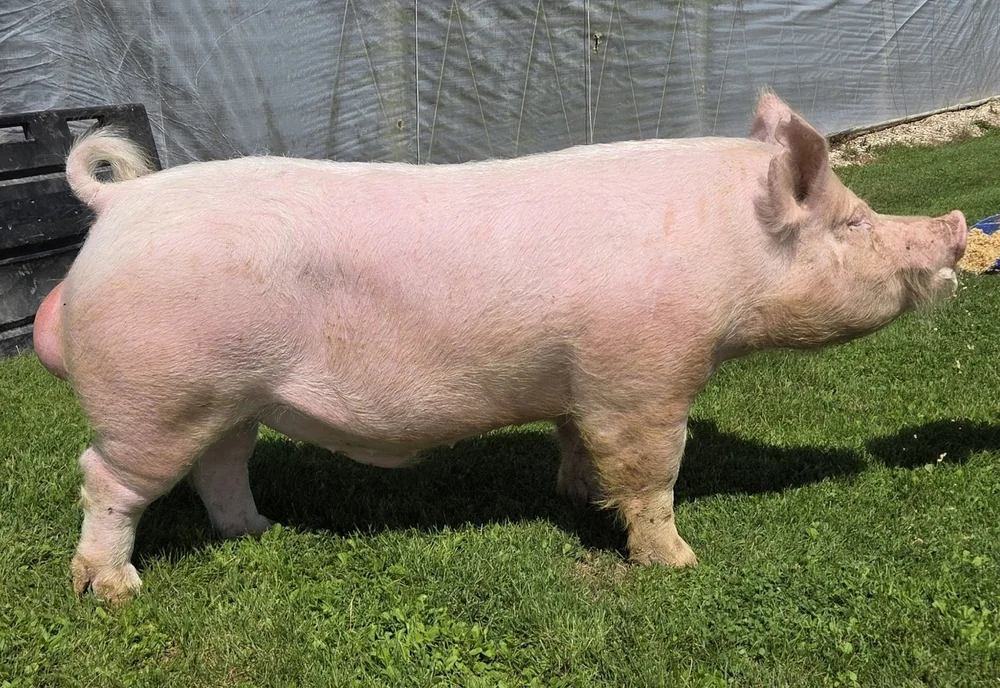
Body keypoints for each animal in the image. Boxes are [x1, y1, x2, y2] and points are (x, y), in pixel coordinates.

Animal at [33, 93, 967, 603]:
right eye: (852, 224)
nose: (956, 225)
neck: (727, 258)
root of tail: (119, 208)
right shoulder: (644, 377)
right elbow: (654, 472)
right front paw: (678, 563)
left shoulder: (584, 383)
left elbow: (578, 443)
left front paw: (580, 497)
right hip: (156, 396)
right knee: (107, 479)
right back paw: (113, 590)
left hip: (230, 397)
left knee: (221, 468)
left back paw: (261, 531)